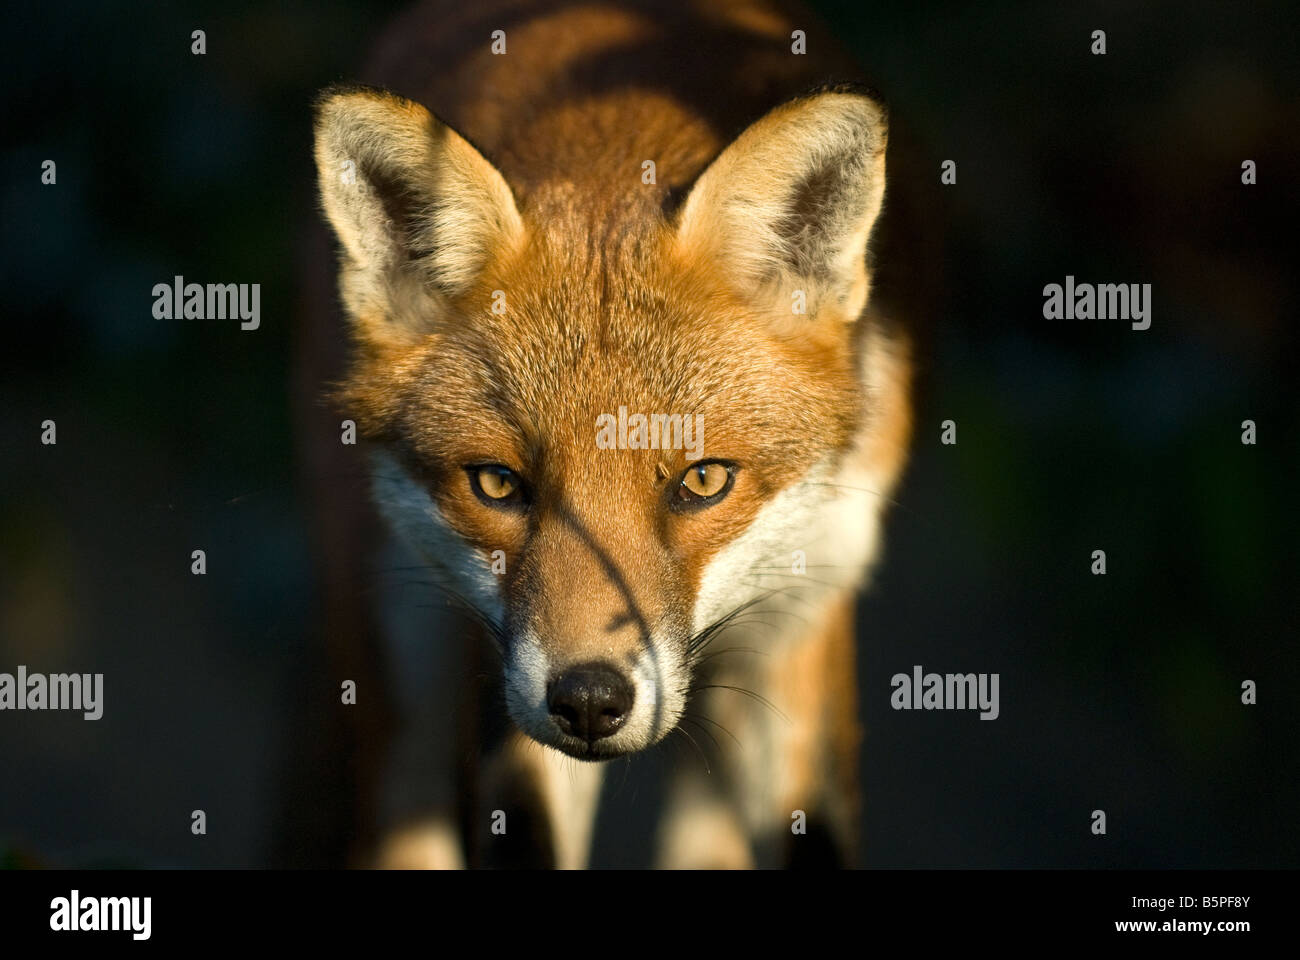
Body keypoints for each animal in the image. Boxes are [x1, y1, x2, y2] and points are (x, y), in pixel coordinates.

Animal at [303, 0, 913, 869]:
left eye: (703, 480)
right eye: (497, 483)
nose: (590, 701)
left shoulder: (803, 612)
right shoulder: (509, 689)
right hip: (399, 641)